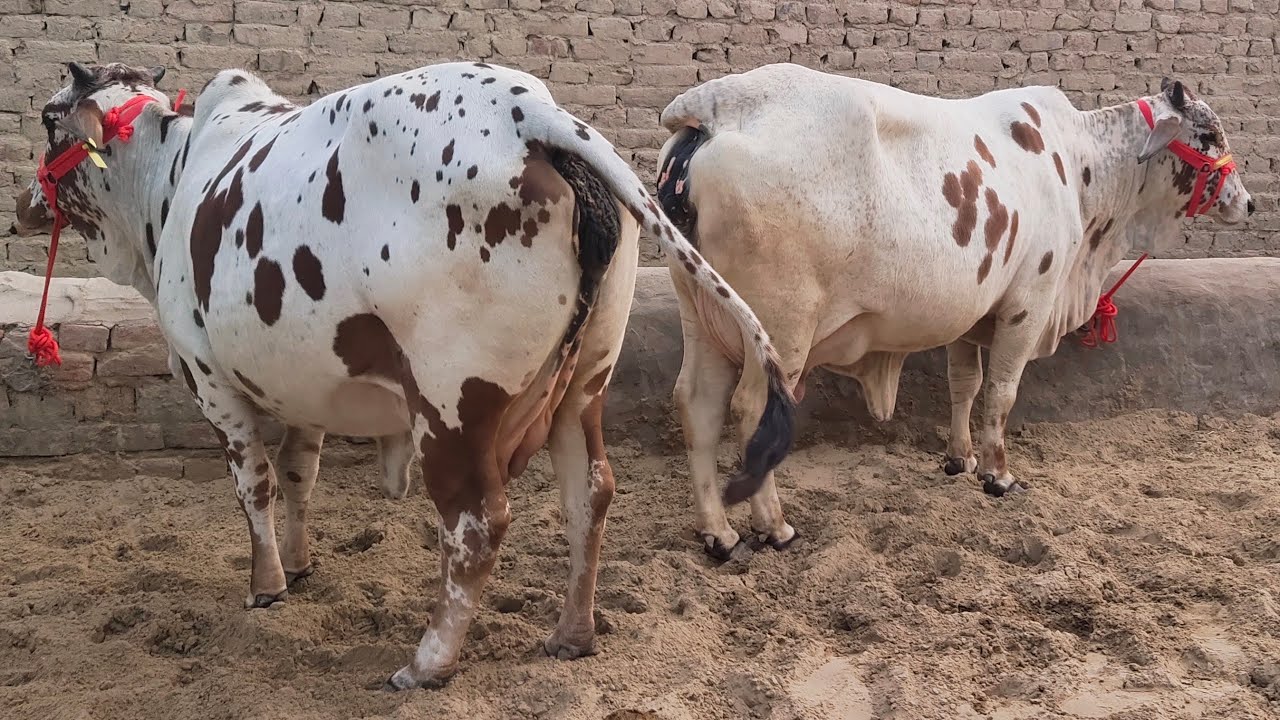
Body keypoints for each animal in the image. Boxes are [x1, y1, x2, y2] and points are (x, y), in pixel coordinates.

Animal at [14, 61, 796, 689]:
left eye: (51, 123)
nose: (26, 202)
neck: (171, 181)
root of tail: (532, 115)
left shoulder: (211, 381)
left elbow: (254, 486)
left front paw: (266, 584)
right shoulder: (304, 385)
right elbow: (299, 474)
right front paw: (299, 563)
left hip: (452, 404)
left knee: (477, 523)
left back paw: (428, 662)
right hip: (584, 385)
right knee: (591, 495)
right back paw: (572, 633)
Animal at [654, 63, 1252, 560]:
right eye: (1209, 134)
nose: (1248, 202)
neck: (1081, 166)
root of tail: (715, 103)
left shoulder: (972, 314)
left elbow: (964, 384)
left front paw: (958, 459)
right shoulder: (1028, 304)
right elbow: (1001, 393)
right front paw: (997, 475)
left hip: (701, 311)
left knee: (697, 404)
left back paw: (719, 533)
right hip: (781, 327)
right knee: (752, 409)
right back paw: (773, 526)